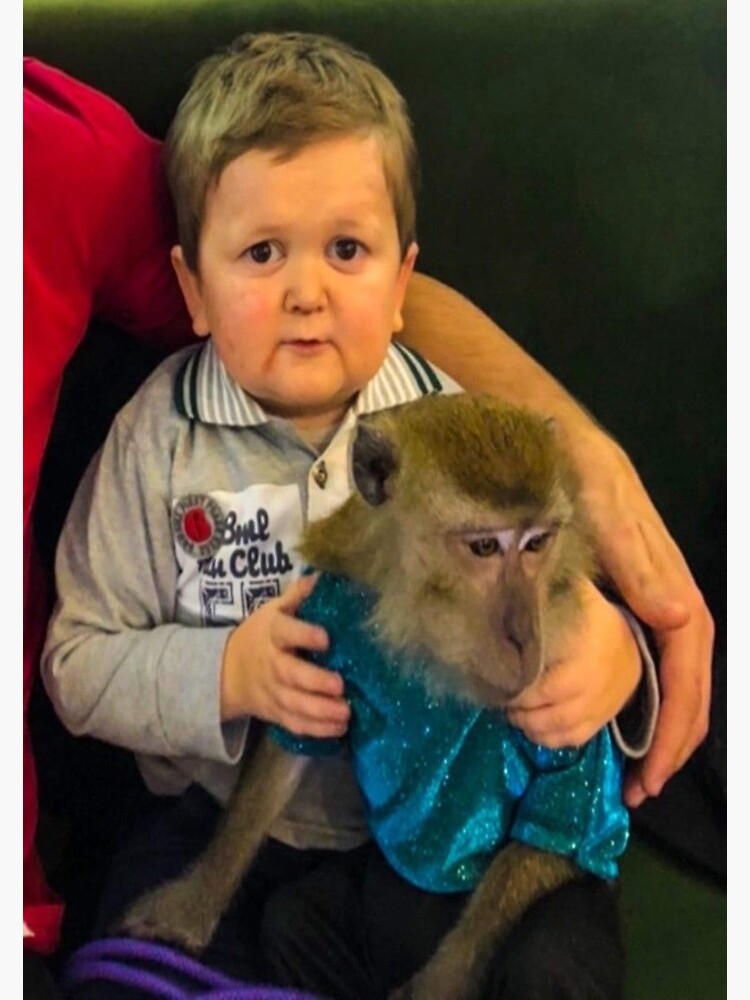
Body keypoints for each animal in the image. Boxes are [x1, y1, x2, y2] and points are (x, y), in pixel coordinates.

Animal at [117, 392, 630, 1000]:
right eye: (485, 546)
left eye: (537, 543)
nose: (526, 639)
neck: (421, 634)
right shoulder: (333, 622)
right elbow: (292, 748)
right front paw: (193, 902)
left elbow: (563, 820)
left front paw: (440, 984)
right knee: (294, 922)